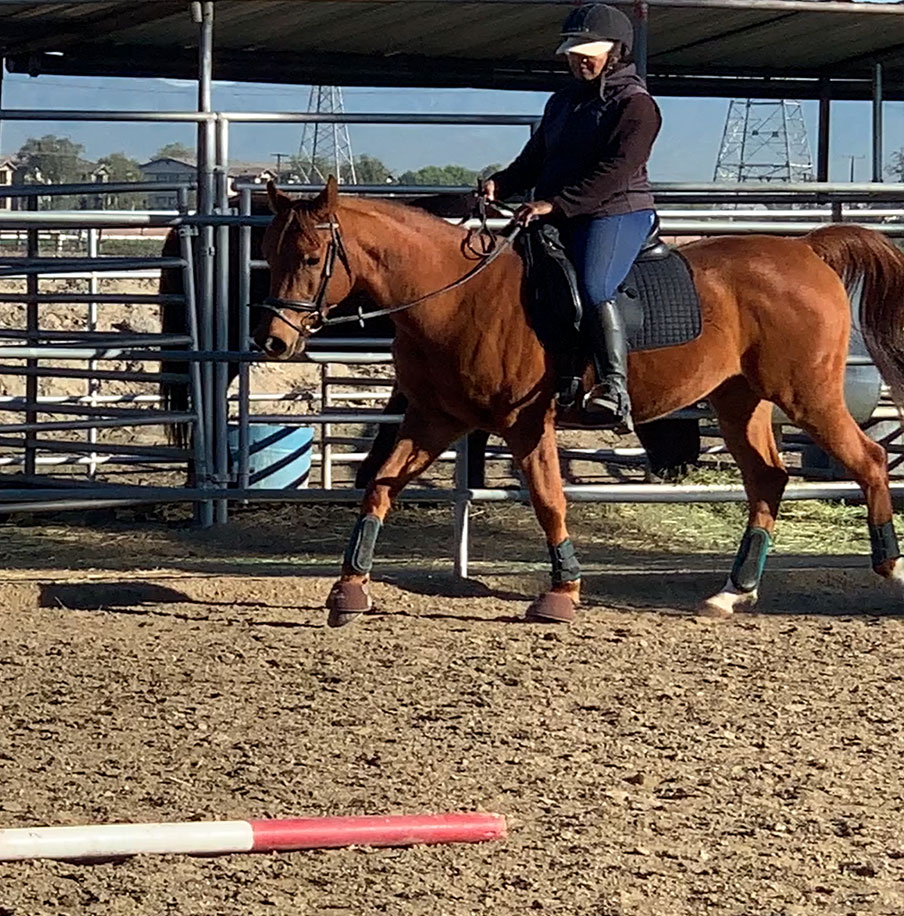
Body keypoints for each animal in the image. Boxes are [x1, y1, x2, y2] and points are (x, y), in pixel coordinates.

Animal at [253, 177, 904, 627]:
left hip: (808, 396)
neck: (457, 296)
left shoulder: (524, 423)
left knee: (869, 460)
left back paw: (891, 568)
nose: (275, 341)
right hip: (740, 401)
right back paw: (730, 593)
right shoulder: (435, 418)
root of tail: (806, 249)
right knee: (768, 479)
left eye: (310, 259)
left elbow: (547, 499)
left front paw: (561, 593)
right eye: (271, 253)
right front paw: (348, 590)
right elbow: (380, 485)